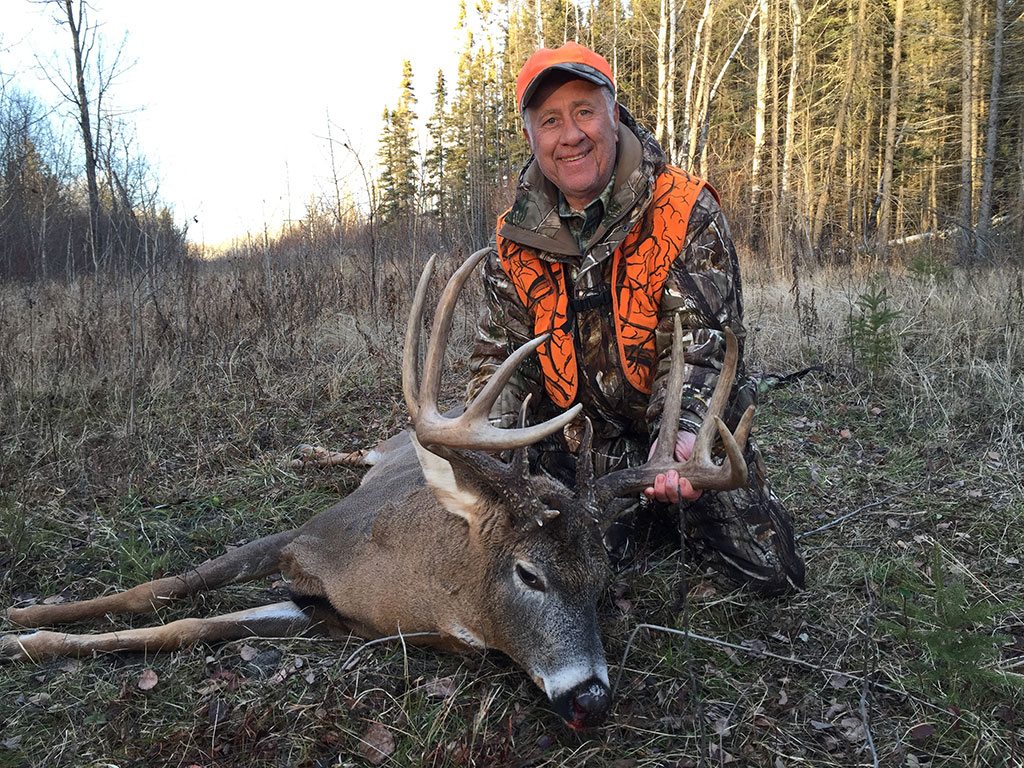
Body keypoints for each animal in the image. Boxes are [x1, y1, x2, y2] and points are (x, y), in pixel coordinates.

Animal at [1, 248, 753, 730]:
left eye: (600, 581)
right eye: (529, 574)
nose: (591, 699)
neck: (420, 585)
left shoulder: (328, 616)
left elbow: (187, 628)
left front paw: (27, 638)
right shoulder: (303, 535)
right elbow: (157, 592)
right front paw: (21, 628)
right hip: (378, 453)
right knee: (359, 449)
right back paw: (310, 453)